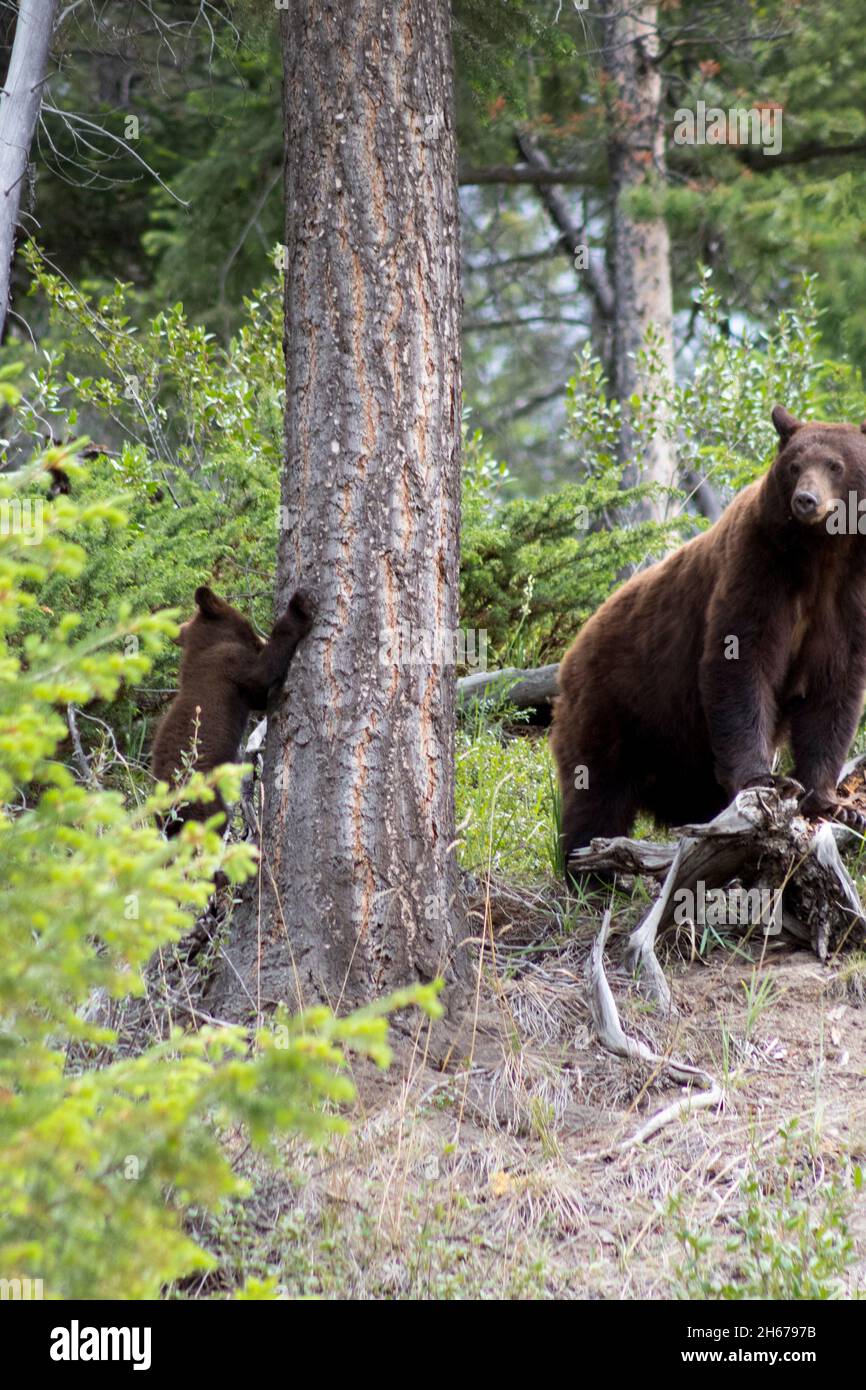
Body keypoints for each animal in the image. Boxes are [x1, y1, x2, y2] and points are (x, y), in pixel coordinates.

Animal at [152, 585, 315, 834]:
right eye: (247, 625)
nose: (260, 639)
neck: (205, 646)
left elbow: (259, 695)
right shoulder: (229, 663)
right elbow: (262, 674)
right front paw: (298, 608)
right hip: (205, 800)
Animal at [551, 405, 866, 870]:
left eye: (835, 465)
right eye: (794, 465)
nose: (806, 500)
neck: (820, 556)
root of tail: (571, 649)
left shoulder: (847, 598)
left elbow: (834, 690)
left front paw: (832, 802)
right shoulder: (758, 569)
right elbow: (740, 664)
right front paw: (763, 779)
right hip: (612, 705)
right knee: (596, 794)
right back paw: (589, 868)